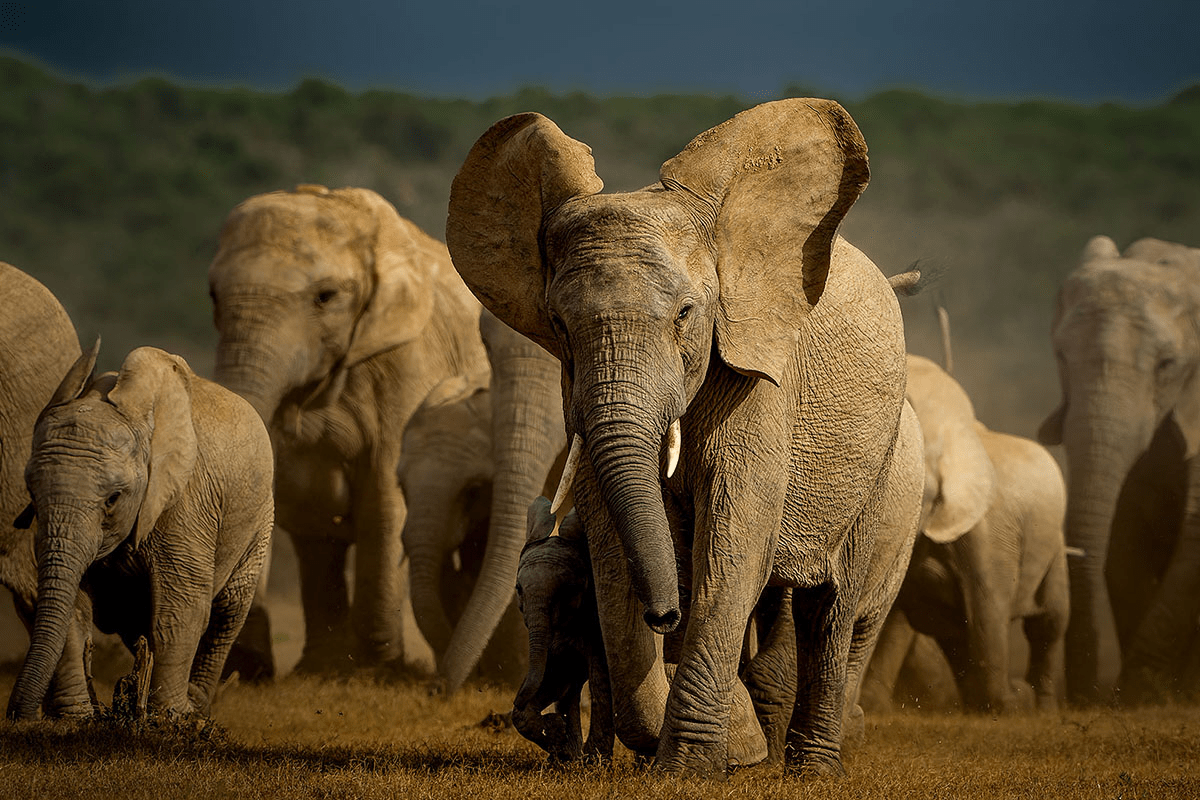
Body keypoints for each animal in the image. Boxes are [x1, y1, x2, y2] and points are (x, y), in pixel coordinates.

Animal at [7, 343, 274, 718]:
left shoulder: (184, 503)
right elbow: (72, 605)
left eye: (113, 499)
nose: (20, 715)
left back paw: (196, 708)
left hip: (261, 517)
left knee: (228, 612)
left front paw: (170, 719)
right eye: (32, 493)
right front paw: (77, 718)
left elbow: (179, 611)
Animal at [208, 184, 488, 674]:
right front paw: (316, 671)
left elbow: (383, 498)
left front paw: (380, 670)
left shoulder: (409, 366)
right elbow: (303, 505)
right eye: (213, 298)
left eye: (325, 297)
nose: (249, 666)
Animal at [446, 99, 924, 776]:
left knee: (833, 607)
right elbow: (615, 549)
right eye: (559, 324)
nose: (666, 613)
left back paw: (811, 769)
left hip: (883, 467)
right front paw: (725, 747)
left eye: (685, 315)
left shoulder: (758, 376)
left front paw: (702, 762)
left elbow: (732, 540)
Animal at [862, 354, 1069, 713]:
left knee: (1049, 622)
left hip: (1055, 544)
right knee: (944, 630)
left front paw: (1011, 703)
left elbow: (988, 608)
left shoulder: (985, 534)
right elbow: (892, 611)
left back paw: (1038, 707)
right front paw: (872, 707)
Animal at [1039, 235, 1200, 705]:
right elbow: (1126, 538)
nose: (1082, 697)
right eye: (1061, 355)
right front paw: (1137, 695)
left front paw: (1142, 693)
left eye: (1167, 365)